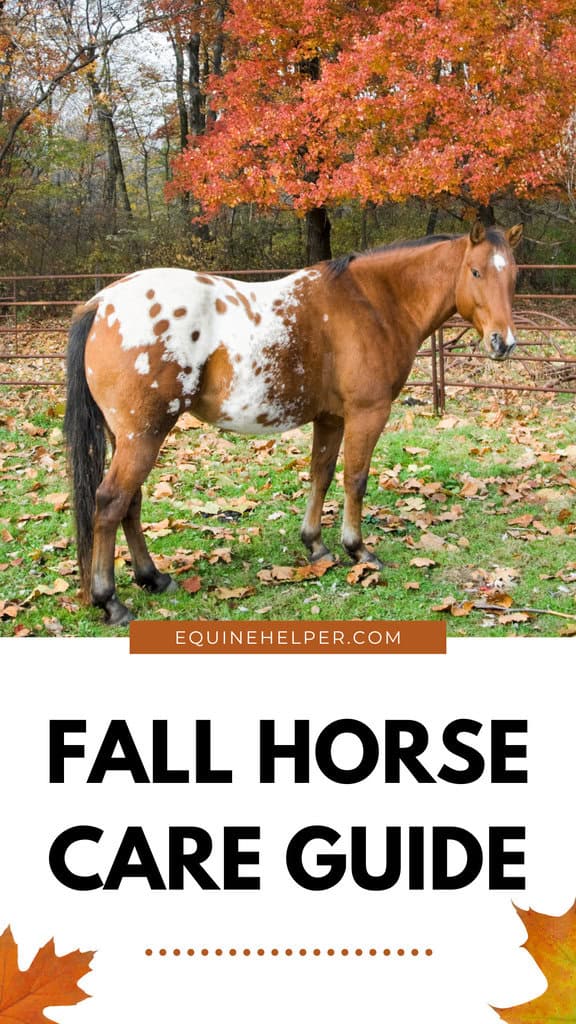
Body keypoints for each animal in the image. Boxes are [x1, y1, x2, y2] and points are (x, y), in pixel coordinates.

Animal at [64, 219, 523, 625]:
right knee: (110, 502)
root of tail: (101, 304)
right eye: (476, 271)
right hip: (143, 435)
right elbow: (355, 479)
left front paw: (316, 546)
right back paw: (110, 601)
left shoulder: (331, 418)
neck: (373, 301)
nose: (503, 343)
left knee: (131, 501)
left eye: (513, 276)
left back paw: (153, 578)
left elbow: (321, 475)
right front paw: (358, 550)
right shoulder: (367, 413)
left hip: (127, 437)